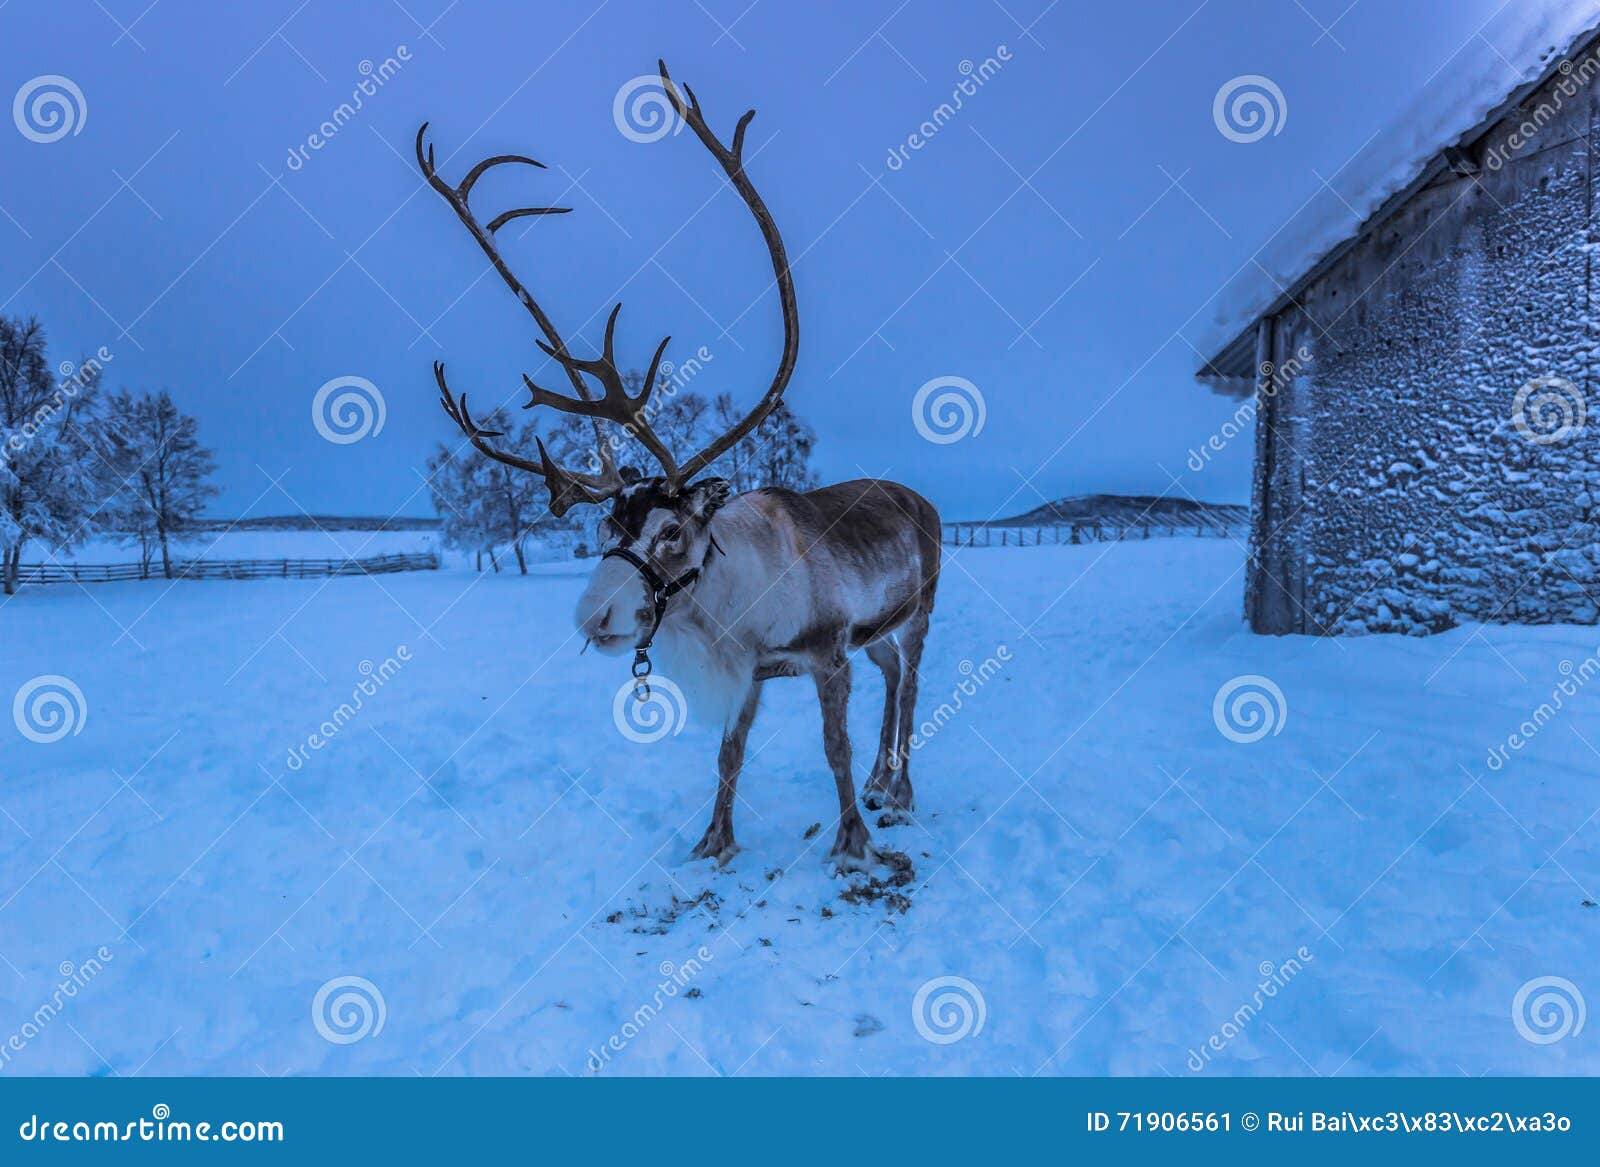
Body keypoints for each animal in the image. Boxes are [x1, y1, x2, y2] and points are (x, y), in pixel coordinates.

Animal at [417, 62, 941, 872]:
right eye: (605, 527)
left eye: (669, 531)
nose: (592, 616)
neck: (731, 607)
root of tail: (918, 499)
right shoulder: (752, 673)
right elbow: (728, 755)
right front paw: (713, 841)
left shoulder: (827, 654)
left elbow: (834, 749)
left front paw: (851, 840)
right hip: (878, 628)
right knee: (889, 671)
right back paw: (886, 784)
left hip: (921, 611)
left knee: (910, 684)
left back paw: (901, 792)